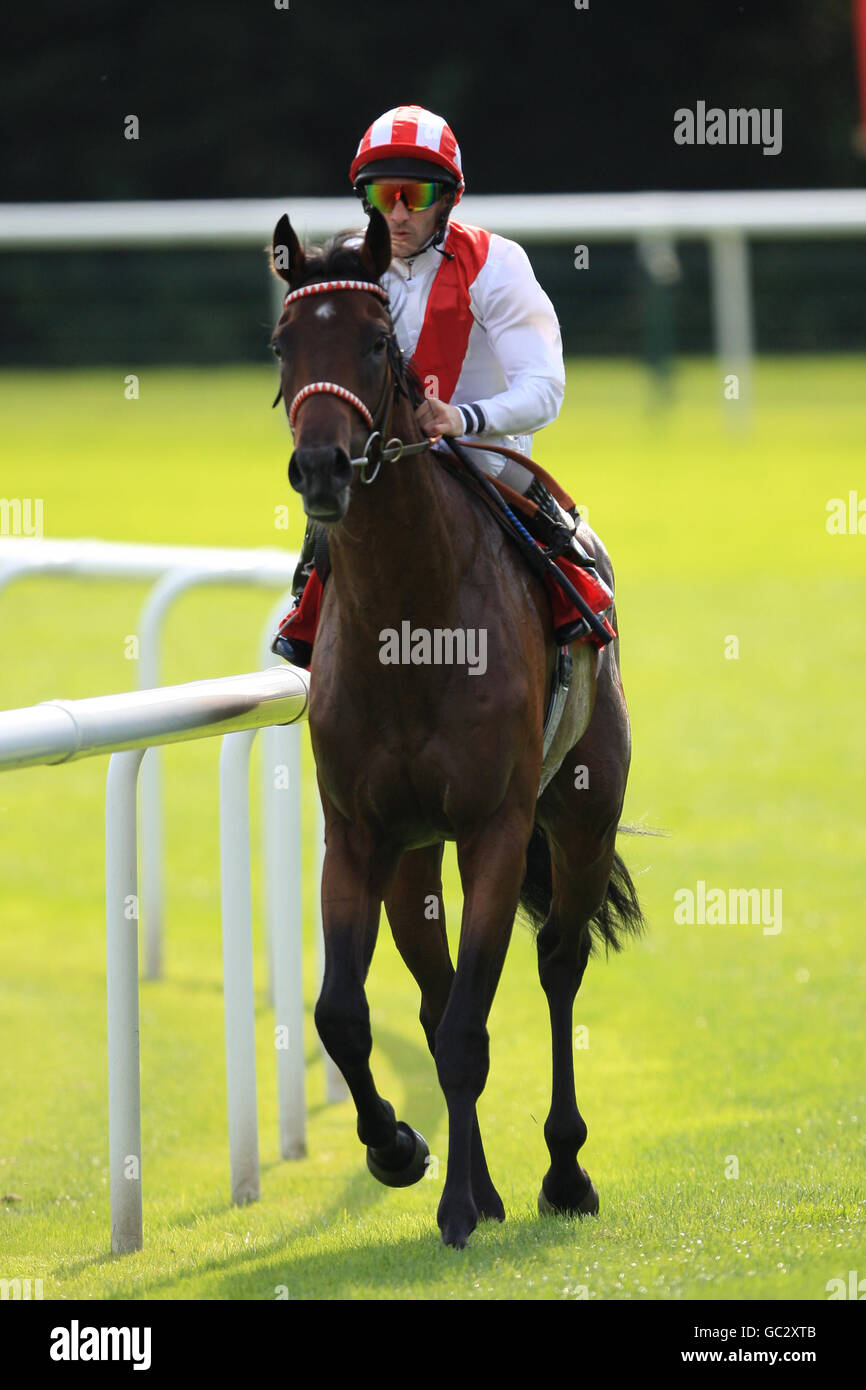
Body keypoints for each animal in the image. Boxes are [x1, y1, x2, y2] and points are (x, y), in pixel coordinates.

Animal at [269, 207, 644, 1249]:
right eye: (283, 342)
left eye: (375, 342)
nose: (321, 467)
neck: (413, 621)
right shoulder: (360, 833)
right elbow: (348, 1016)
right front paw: (400, 1149)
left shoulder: (496, 828)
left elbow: (475, 1028)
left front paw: (462, 1200)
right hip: (414, 860)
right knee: (437, 997)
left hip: (584, 815)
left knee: (558, 966)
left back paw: (563, 1169)